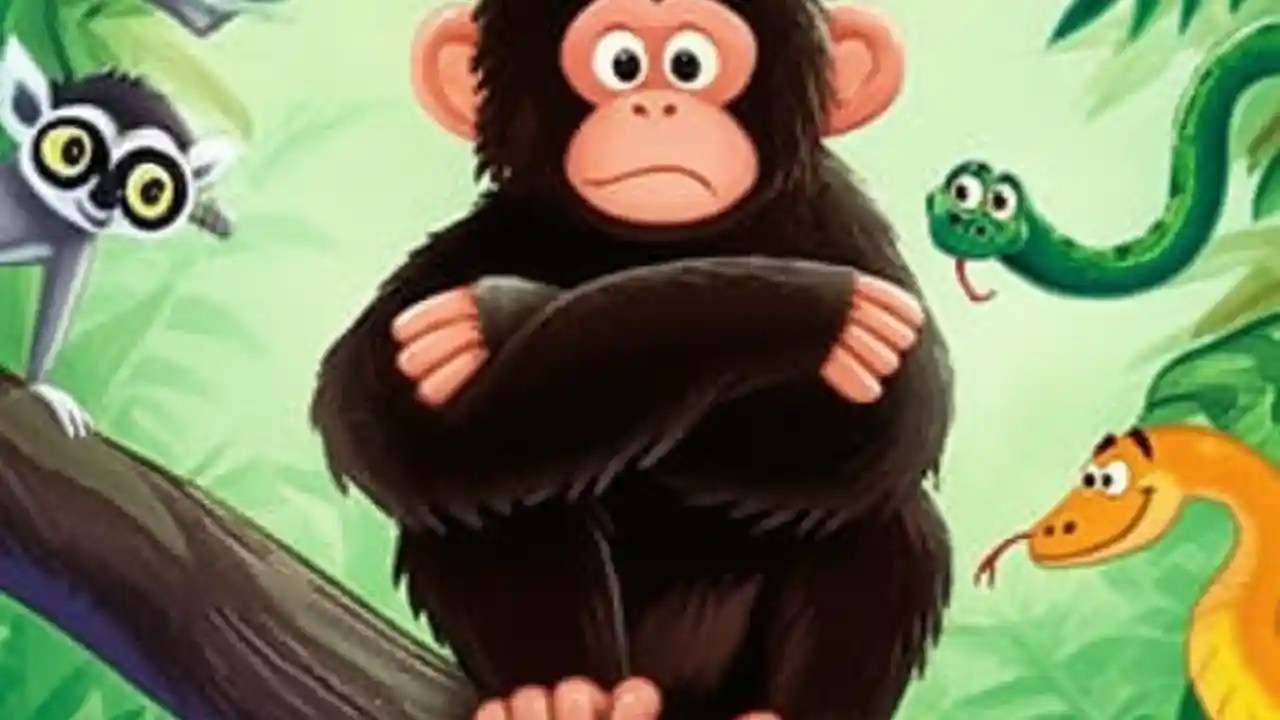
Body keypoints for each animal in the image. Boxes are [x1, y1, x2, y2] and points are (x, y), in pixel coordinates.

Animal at [310, 0, 954, 717]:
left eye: (689, 63)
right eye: (620, 64)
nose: (655, 106)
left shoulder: (841, 219)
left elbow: (894, 415)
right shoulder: (479, 239)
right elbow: (384, 419)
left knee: (888, 513)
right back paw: (558, 691)